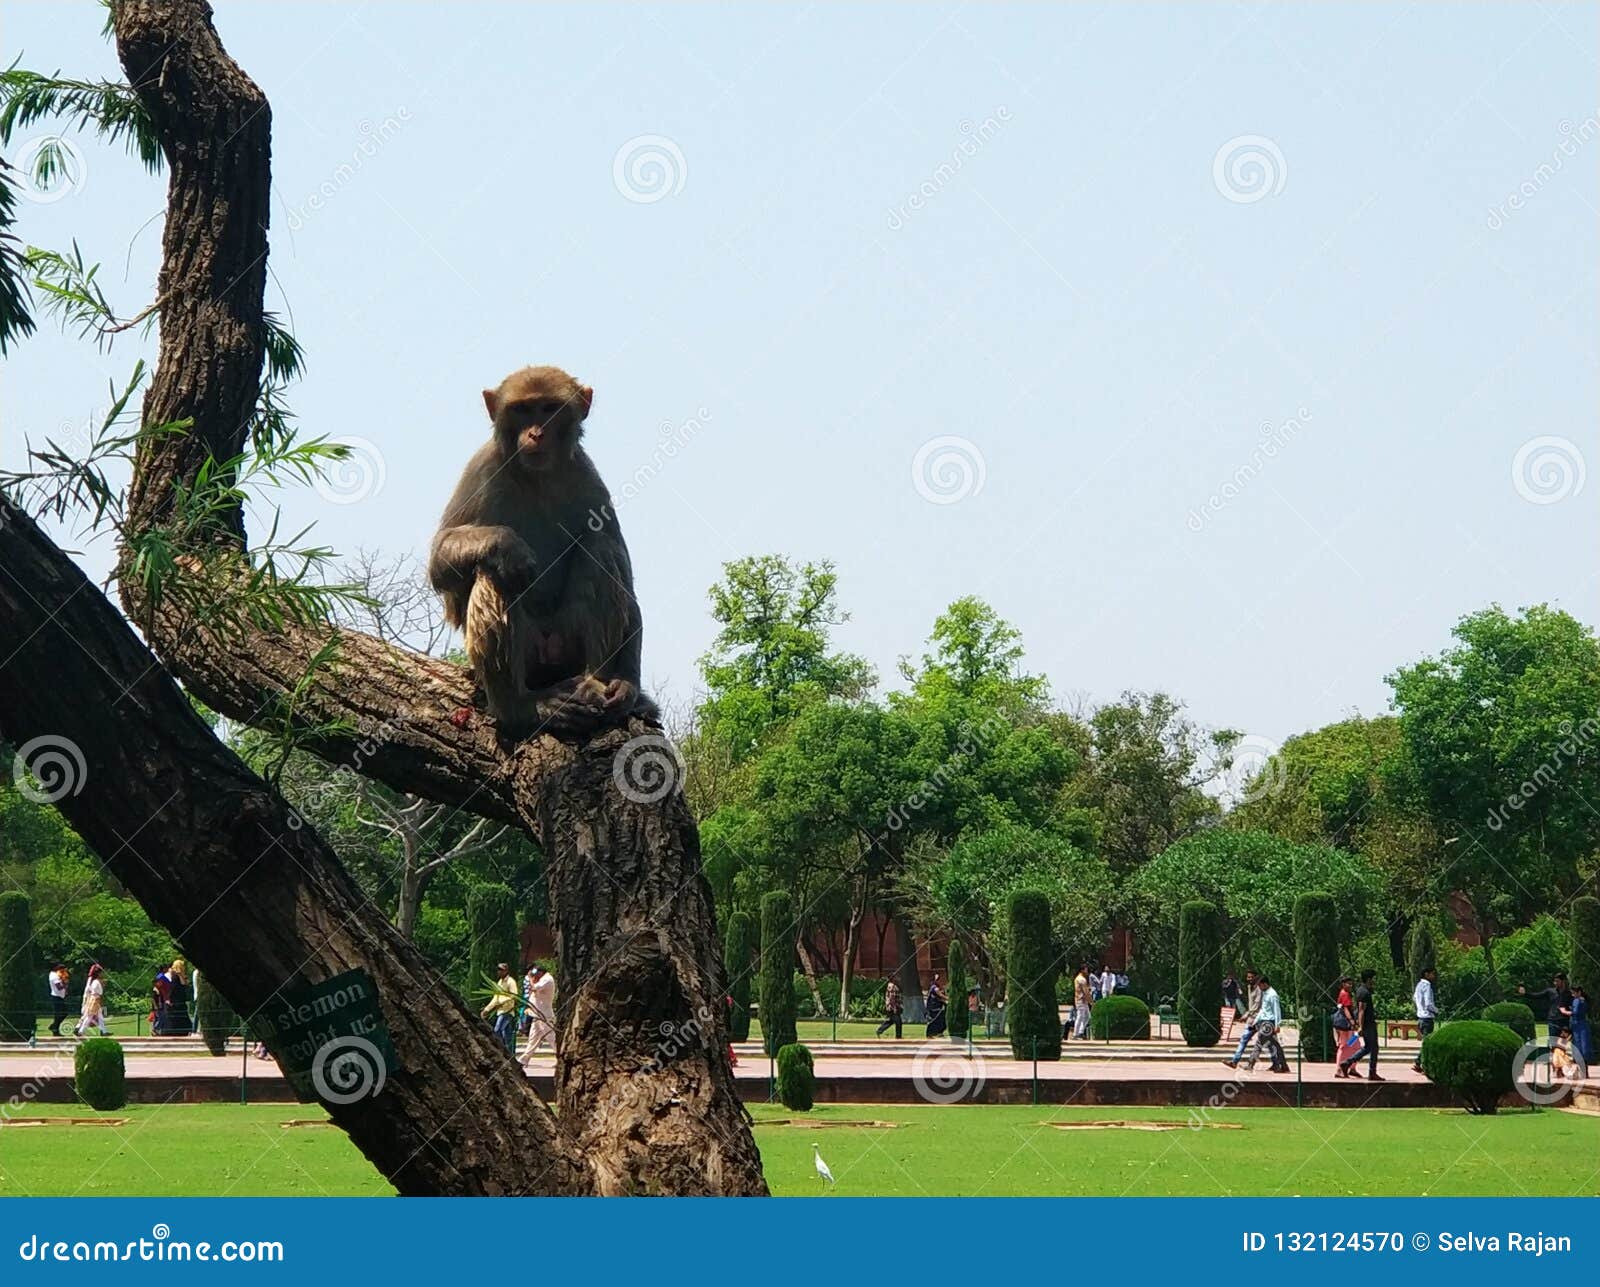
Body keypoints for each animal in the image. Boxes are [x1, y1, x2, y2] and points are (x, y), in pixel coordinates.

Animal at [428, 365, 655, 739]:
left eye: (549, 408)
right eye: (522, 410)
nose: (535, 433)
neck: (537, 477)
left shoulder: (589, 478)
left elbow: (628, 587)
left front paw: (628, 685)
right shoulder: (482, 466)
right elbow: (439, 558)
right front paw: (507, 544)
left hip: (566, 648)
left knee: (599, 548)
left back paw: (596, 681)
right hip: (532, 655)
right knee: (496, 573)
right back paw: (522, 707)